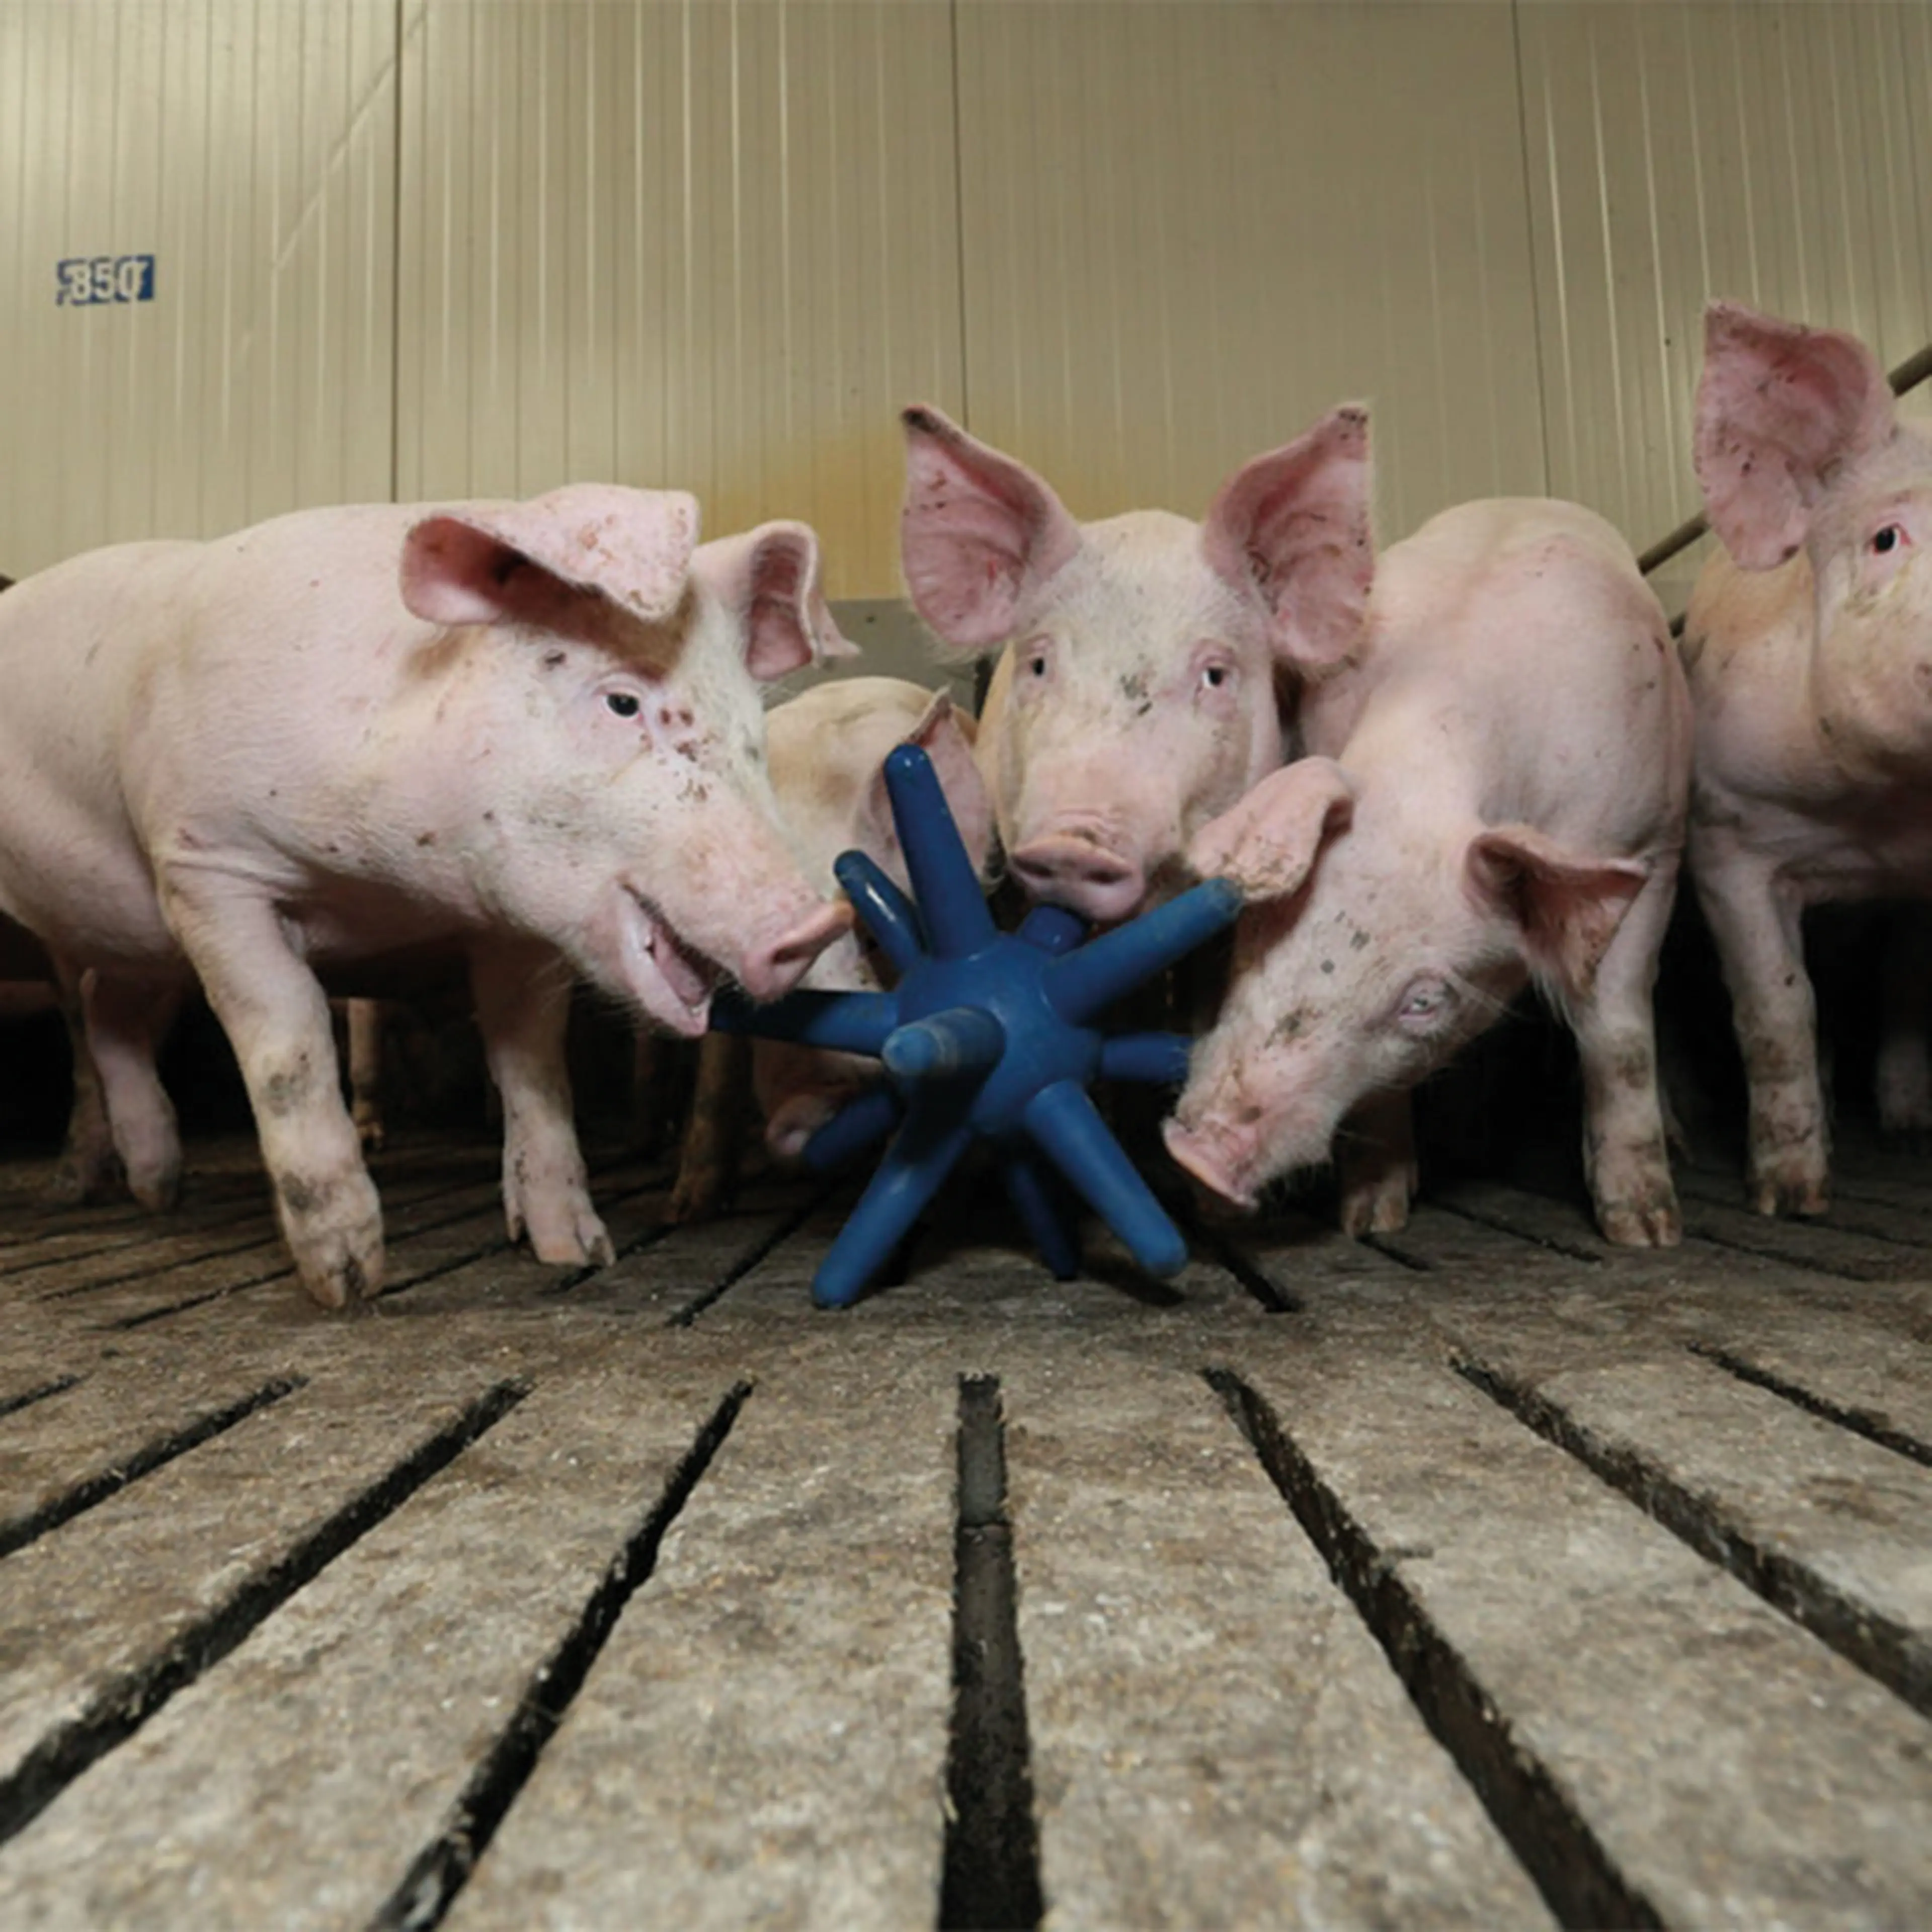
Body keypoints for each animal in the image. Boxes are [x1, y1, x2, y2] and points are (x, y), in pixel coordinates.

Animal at [0, 488, 853, 1306]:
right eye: (622, 703)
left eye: (752, 730)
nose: (821, 920)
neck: (388, 887)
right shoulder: (203, 865)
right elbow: (291, 1042)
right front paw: (349, 1284)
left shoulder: (513, 929)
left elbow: (534, 1065)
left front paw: (578, 1252)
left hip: (131, 936)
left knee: (106, 1009)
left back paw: (160, 1192)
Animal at [1165, 495, 1692, 1246]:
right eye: (1260, 931)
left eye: (1424, 1001)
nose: (1197, 1156)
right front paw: (1371, 1222)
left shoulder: (1654, 846)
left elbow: (1617, 1036)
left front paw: (1646, 1232)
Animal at [1679, 301, 1932, 1215]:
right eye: (1887, 539)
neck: (1893, 816)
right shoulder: (1727, 839)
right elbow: (1777, 1011)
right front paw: (1791, 1199)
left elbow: (1905, 987)